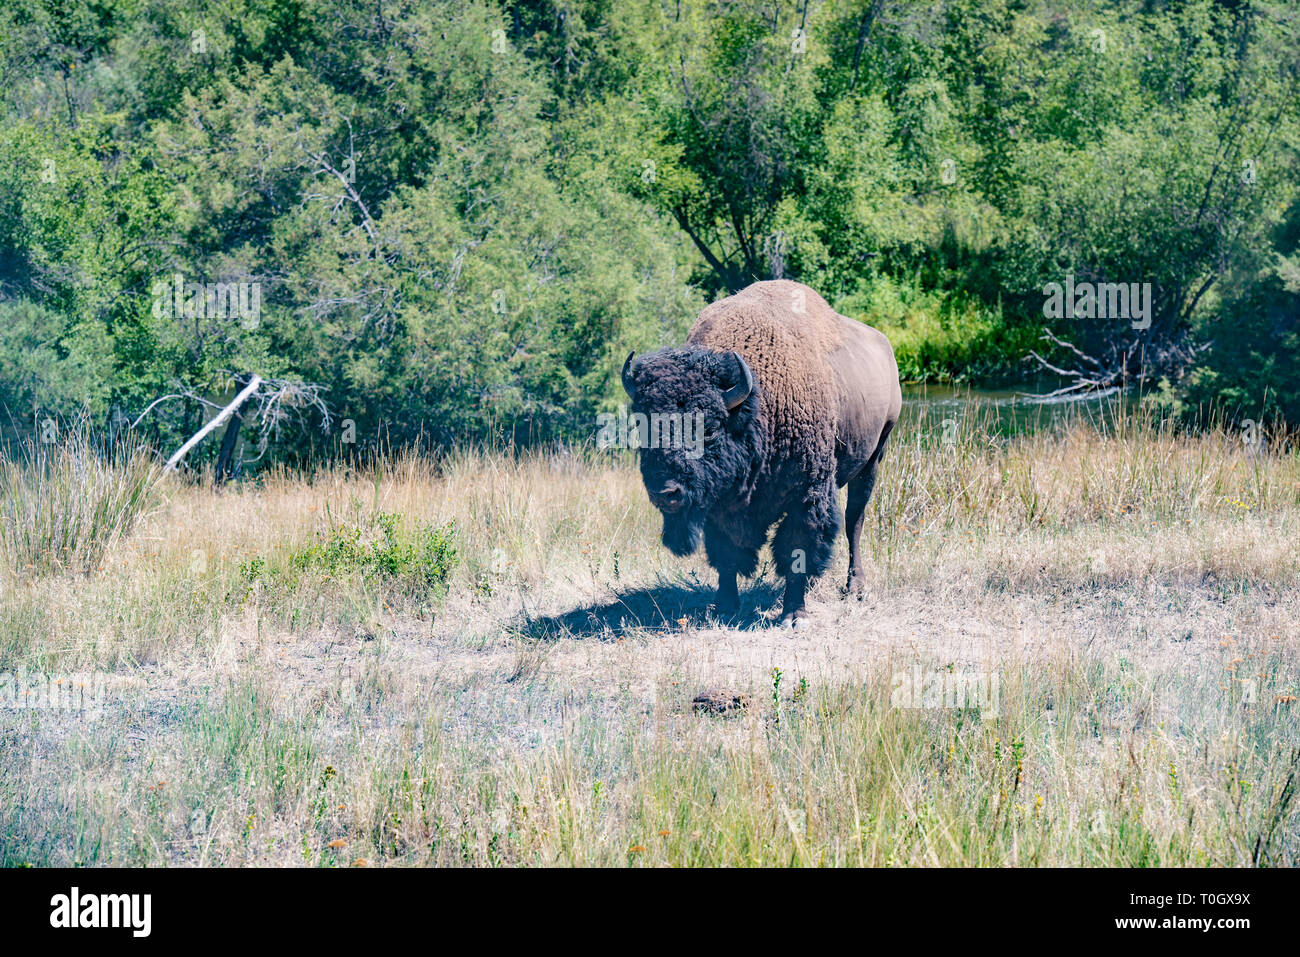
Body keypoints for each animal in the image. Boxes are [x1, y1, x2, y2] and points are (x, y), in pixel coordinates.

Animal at [621, 280, 901, 627]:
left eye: (709, 428)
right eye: (641, 425)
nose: (666, 492)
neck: (756, 404)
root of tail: (885, 346)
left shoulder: (806, 494)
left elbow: (797, 548)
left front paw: (794, 614)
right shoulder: (720, 503)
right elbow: (726, 553)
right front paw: (725, 607)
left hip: (874, 458)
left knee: (854, 521)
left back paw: (855, 588)